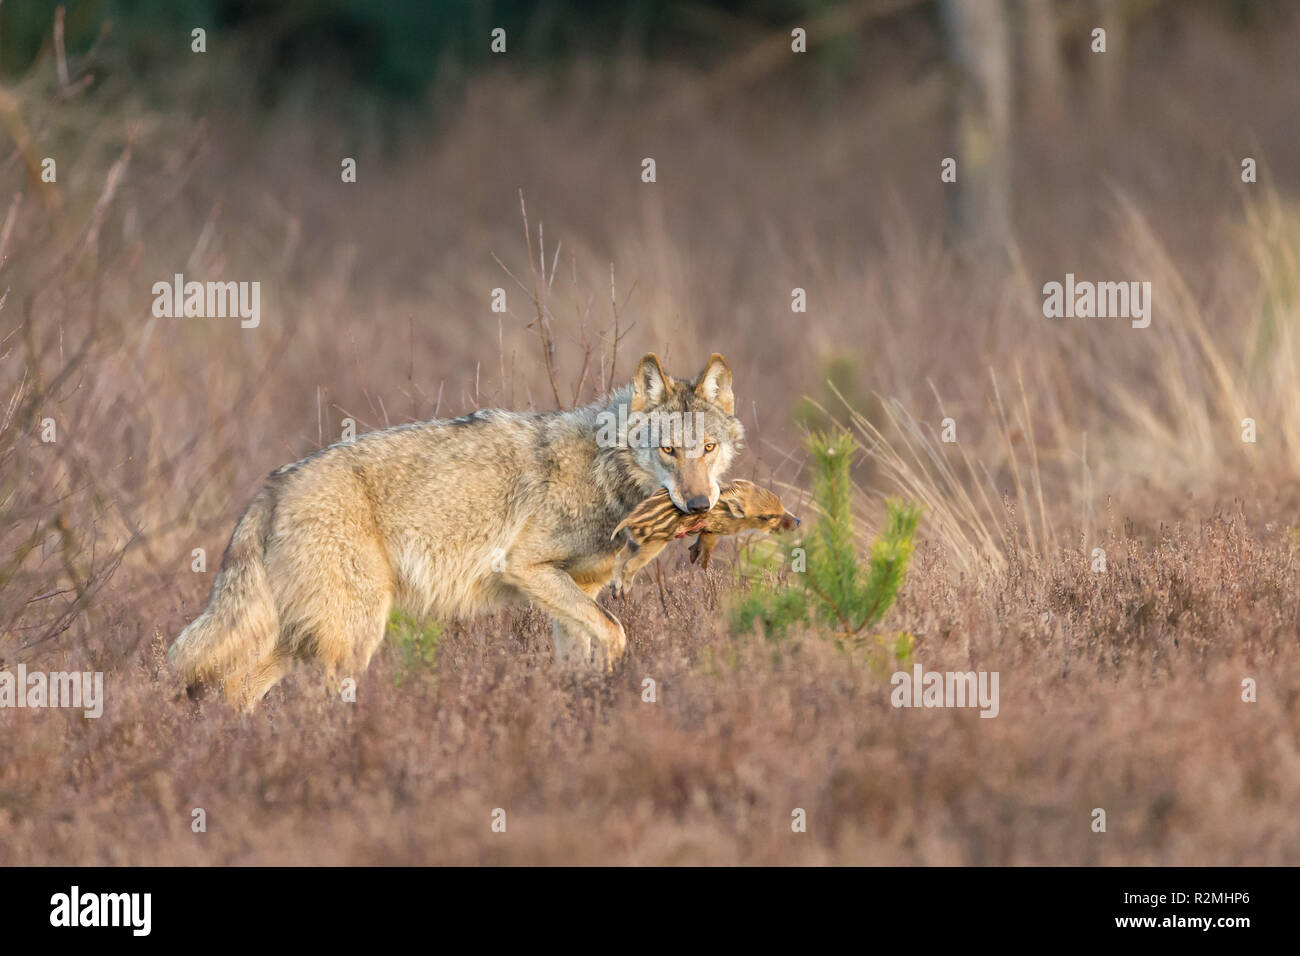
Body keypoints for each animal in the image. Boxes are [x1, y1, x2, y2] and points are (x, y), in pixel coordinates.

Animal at [167, 353, 744, 708]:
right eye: (669, 450)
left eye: (707, 448)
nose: (697, 505)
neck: (605, 470)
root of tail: (273, 484)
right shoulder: (527, 569)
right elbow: (616, 631)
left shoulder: (574, 592)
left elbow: (585, 651)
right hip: (353, 635)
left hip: (307, 636)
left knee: (234, 689)